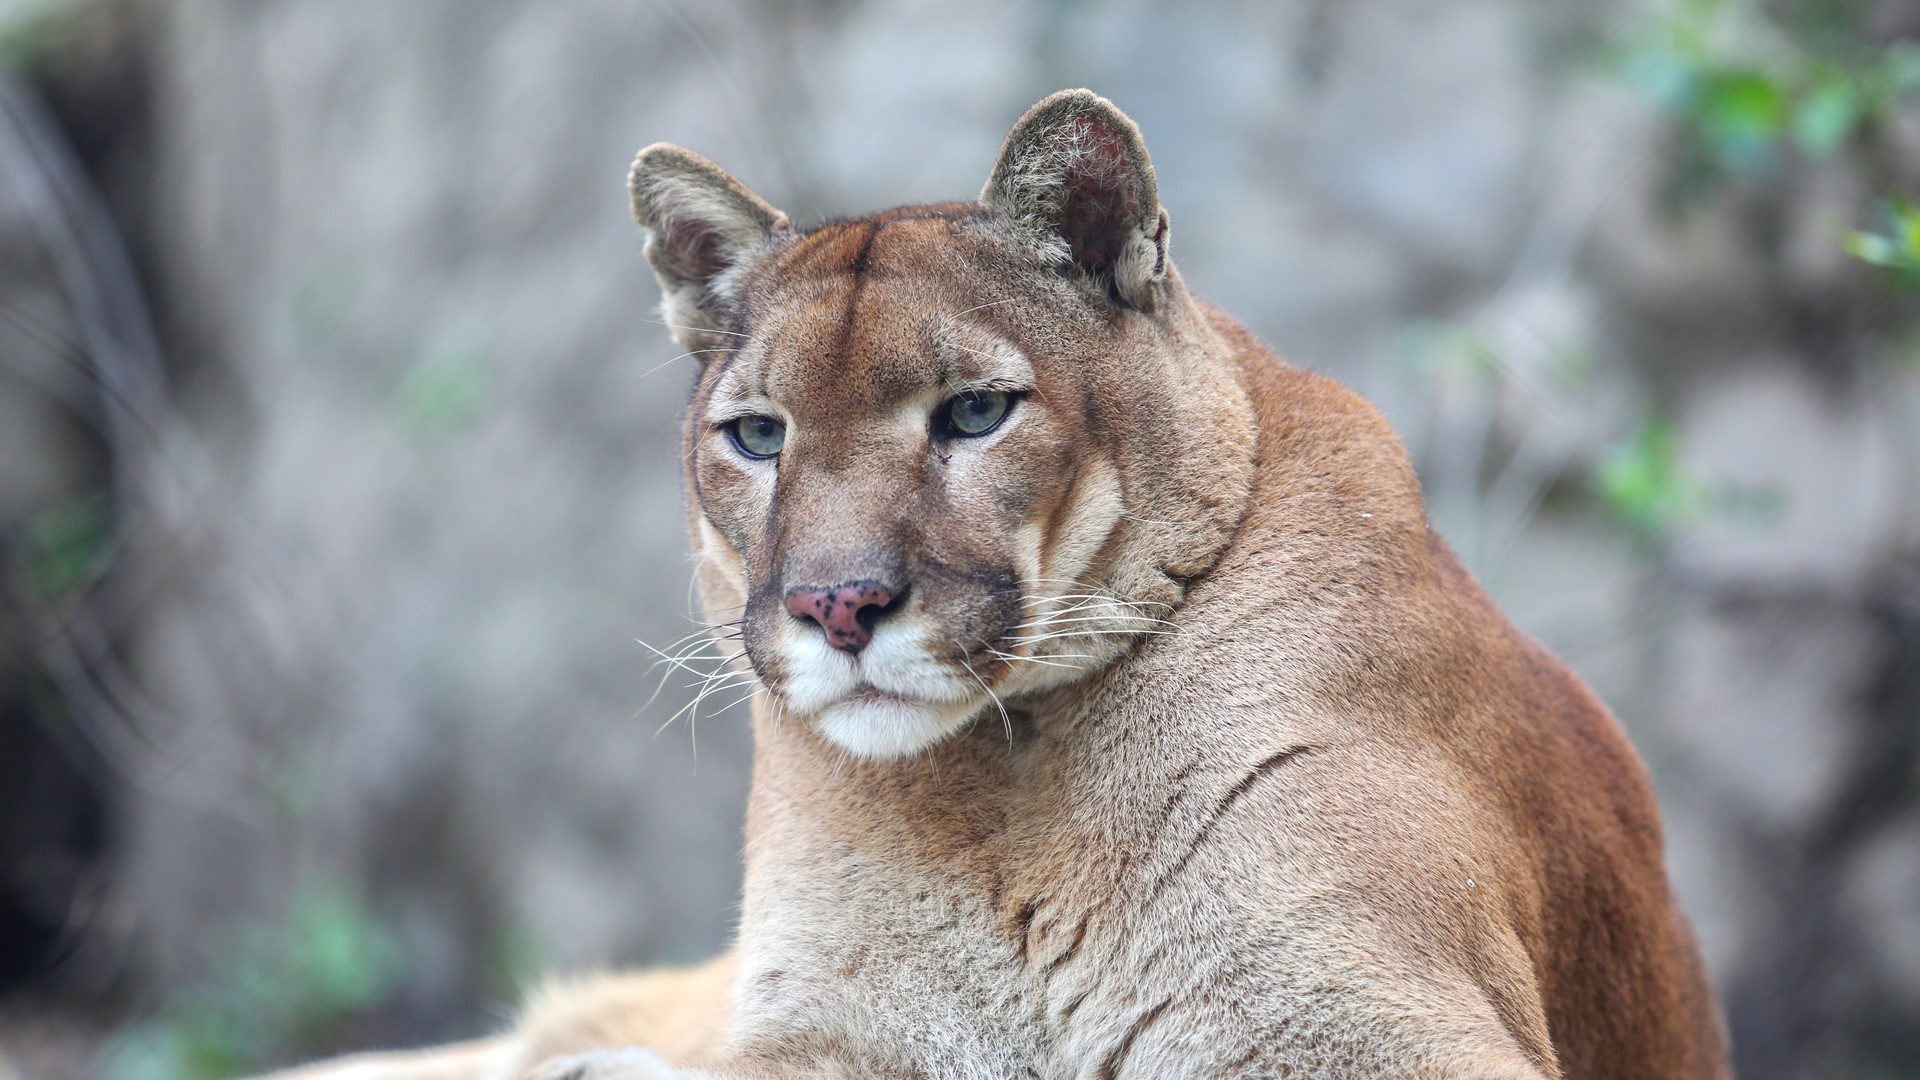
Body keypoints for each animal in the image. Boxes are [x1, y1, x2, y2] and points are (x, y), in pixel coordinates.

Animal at [261, 90, 1729, 1079]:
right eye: (757, 434)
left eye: (974, 413)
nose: (839, 607)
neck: (996, 798)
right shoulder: (822, 1030)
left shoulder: (1370, 1026)